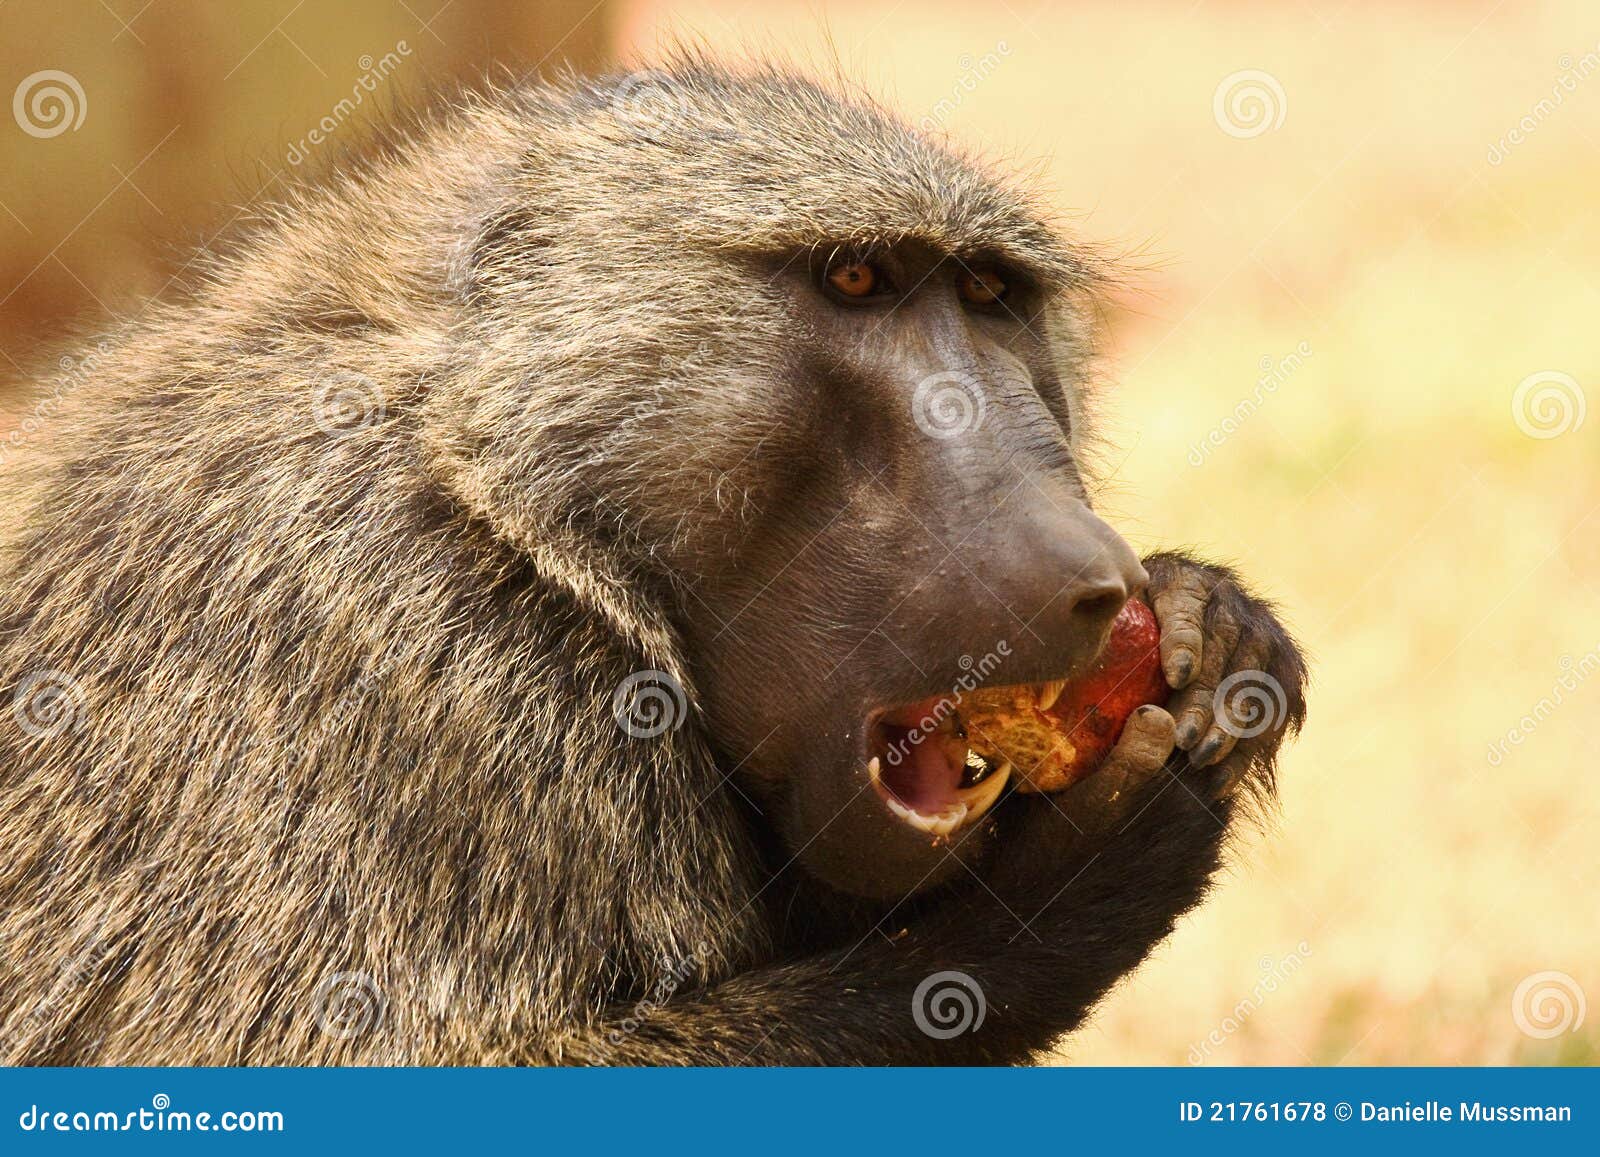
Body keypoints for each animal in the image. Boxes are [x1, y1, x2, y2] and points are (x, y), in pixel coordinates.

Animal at [0, 55, 1307, 1065]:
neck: (507, 502)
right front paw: (1061, 885)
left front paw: (1214, 620)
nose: (1095, 579)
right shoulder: (385, 643)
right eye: (855, 279)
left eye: (990, 294)